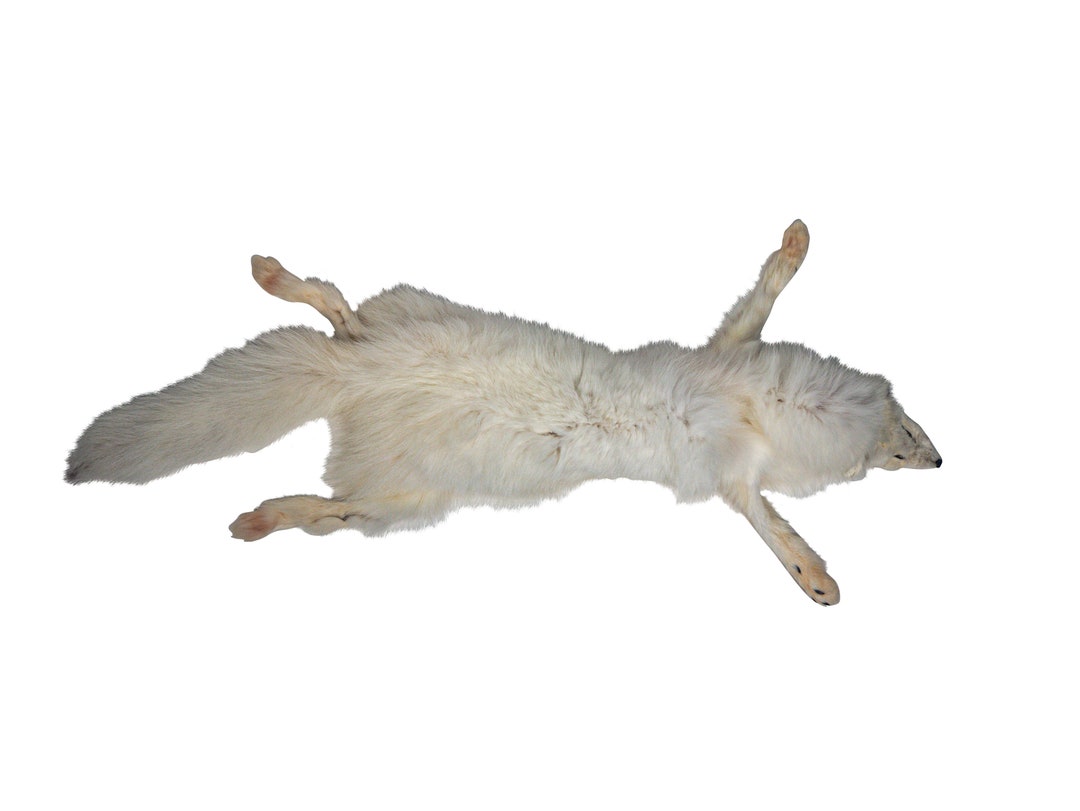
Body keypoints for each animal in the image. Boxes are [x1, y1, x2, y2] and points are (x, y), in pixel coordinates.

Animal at [66, 220, 940, 605]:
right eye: (908, 442)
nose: (941, 462)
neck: (781, 410)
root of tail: (352, 385)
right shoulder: (729, 359)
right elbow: (768, 287)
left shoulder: (736, 472)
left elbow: (770, 526)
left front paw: (813, 575)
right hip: (406, 355)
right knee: (333, 307)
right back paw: (272, 276)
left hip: (394, 496)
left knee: (324, 484)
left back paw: (259, 513)